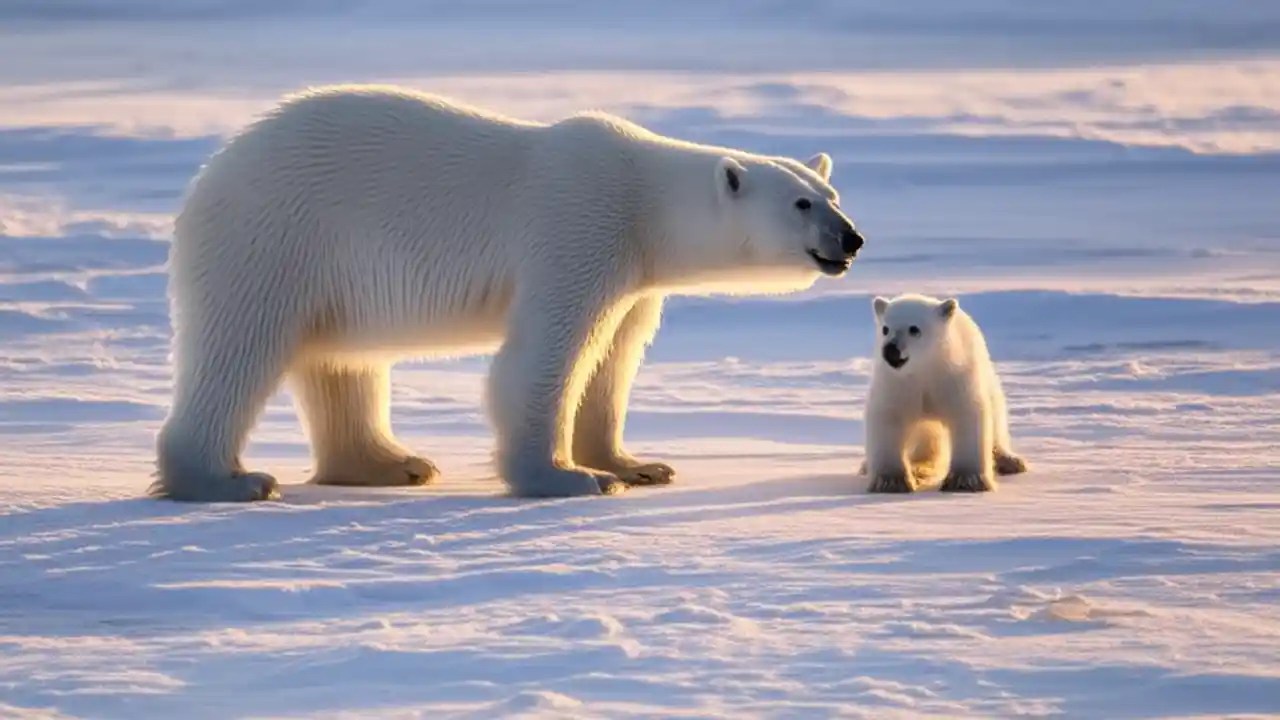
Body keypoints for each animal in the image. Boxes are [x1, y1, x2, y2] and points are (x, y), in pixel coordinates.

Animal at [154, 85, 866, 502]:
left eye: (833, 194)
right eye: (802, 205)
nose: (852, 239)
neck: (644, 203)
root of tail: (207, 177)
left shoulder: (636, 278)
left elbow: (613, 360)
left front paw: (637, 465)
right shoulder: (579, 226)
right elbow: (545, 355)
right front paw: (568, 478)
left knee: (342, 365)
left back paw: (393, 463)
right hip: (277, 238)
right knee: (238, 350)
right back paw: (227, 480)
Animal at [859, 293, 1027, 493]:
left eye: (914, 329)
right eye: (885, 329)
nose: (891, 349)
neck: (925, 370)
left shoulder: (955, 379)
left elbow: (967, 416)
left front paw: (966, 480)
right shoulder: (896, 384)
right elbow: (888, 418)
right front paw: (890, 481)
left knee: (996, 416)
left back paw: (1009, 461)